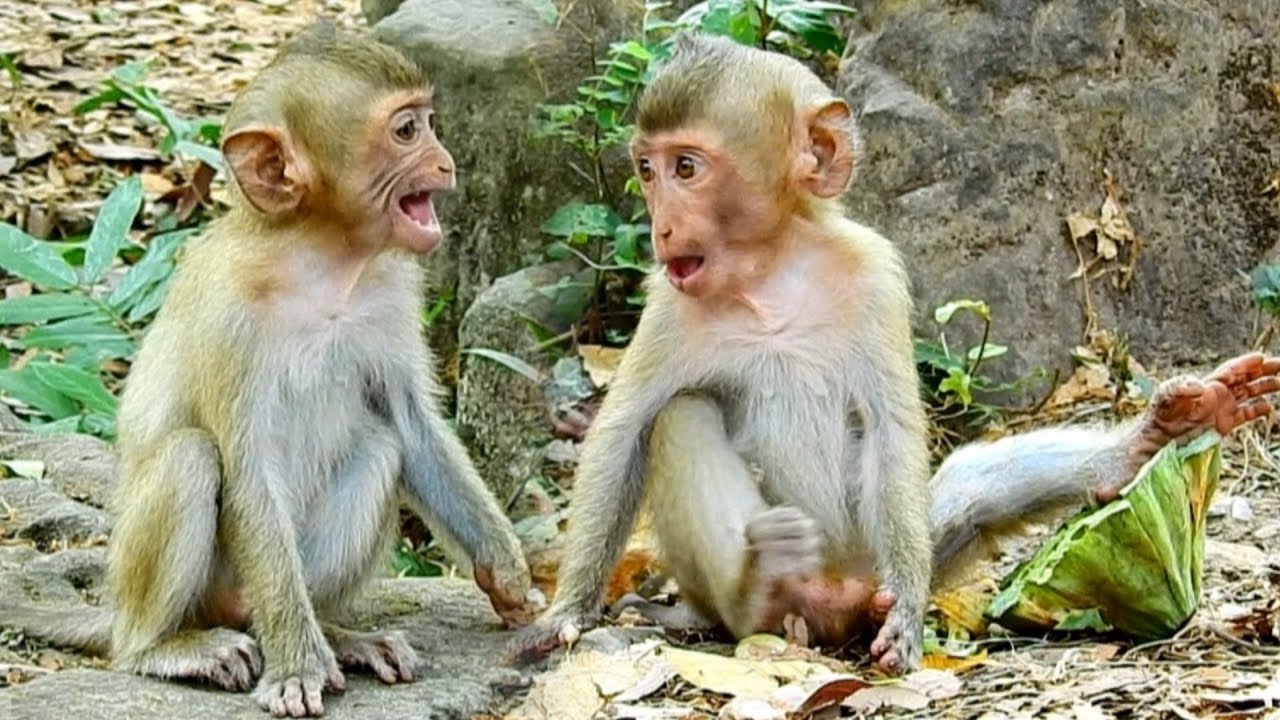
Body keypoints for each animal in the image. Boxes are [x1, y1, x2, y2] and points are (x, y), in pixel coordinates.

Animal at [0, 22, 536, 718]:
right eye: (405, 131)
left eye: (427, 123)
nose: (445, 162)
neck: (320, 260)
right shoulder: (230, 320)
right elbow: (246, 465)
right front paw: (298, 668)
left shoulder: (393, 287)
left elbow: (410, 424)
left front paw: (506, 572)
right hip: (178, 590)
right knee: (192, 458)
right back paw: (171, 647)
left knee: (380, 448)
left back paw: (337, 634)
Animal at [507, 34, 1280, 673]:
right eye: (647, 168)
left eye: (687, 168)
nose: (661, 223)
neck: (771, 274)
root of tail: (837, 596)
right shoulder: (668, 305)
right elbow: (625, 430)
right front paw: (566, 614)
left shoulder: (875, 275)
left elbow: (892, 428)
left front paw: (909, 615)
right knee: (684, 416)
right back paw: (758, 590)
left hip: (875, 550)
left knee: (960, 493)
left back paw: (1148, 438)